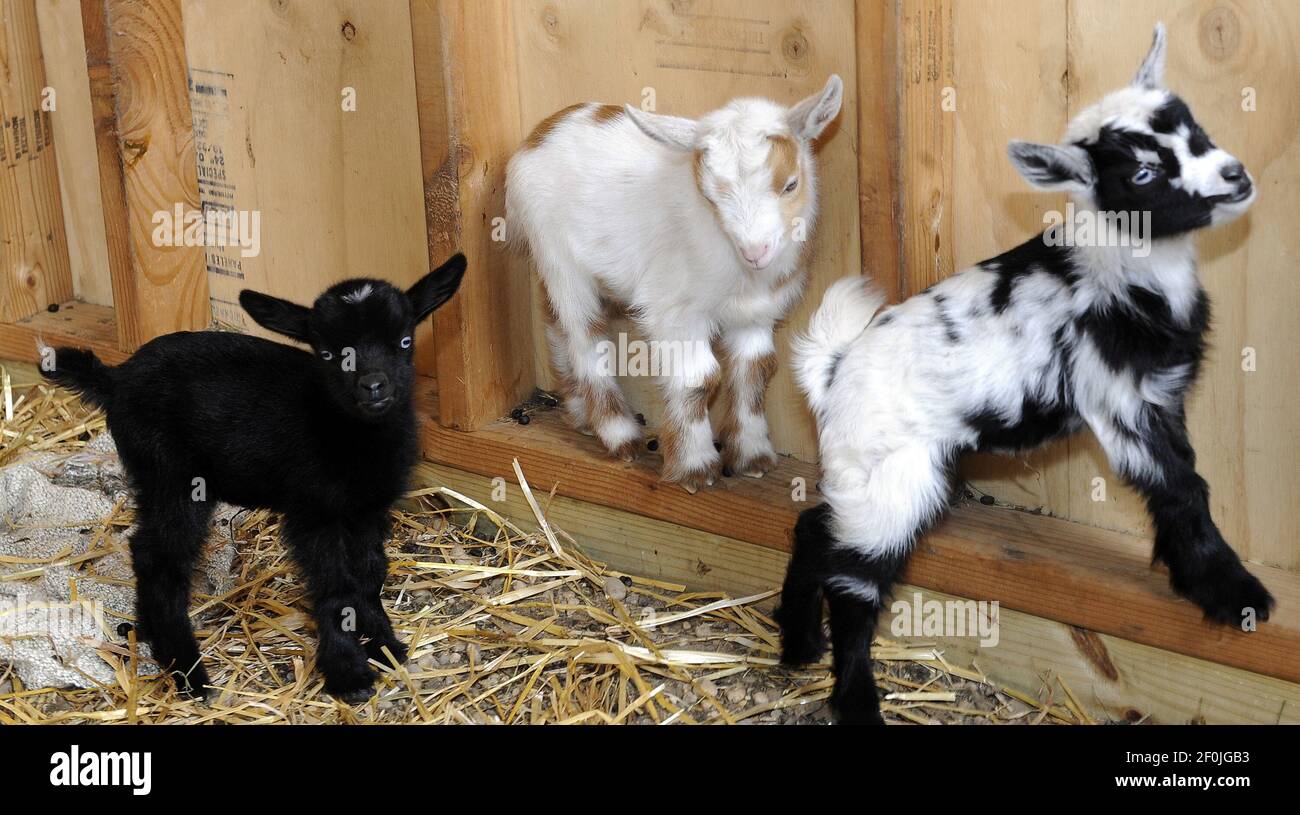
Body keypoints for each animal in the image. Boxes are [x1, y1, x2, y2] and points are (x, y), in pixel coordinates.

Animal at [42, 254, 467, 702]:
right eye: (329, 353)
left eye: (404, 341)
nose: (373, 386)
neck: (343, 429)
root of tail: (116, 379)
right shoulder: (312, 513)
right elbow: (334, 586)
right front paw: (349, 673)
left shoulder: (368, 509)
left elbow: (369, 574)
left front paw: (385, 644)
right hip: (170, 475)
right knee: (158, 558)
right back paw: (187, 671)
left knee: (147, 550)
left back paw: (155, 642)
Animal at [506, 77, 843, 492]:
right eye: (709, 196)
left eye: (791, 184)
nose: (756, 252)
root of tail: (537, 137)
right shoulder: (676, 314)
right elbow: (699, 379)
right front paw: (696, 469)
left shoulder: (755, 314)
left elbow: (755, 369)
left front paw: (753, 458)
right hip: (559, 260)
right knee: (586, 337)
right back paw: (619, 435)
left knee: (558, 328)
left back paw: (581, 415)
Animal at [778, 24, 1273, 724]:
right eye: (1143, 173)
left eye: (1193, 128)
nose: (1233, 176)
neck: (1121, 271)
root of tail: (834, 368)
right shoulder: (1118, 402)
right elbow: (1182, 489)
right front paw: (1234, 593)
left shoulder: (1160, 397)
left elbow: (1179, 482)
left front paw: (1190, 575)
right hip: (892, 478)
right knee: (854, 581)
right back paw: (856, 700)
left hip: (862, 474)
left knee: (815, 528)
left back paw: (798, 643)